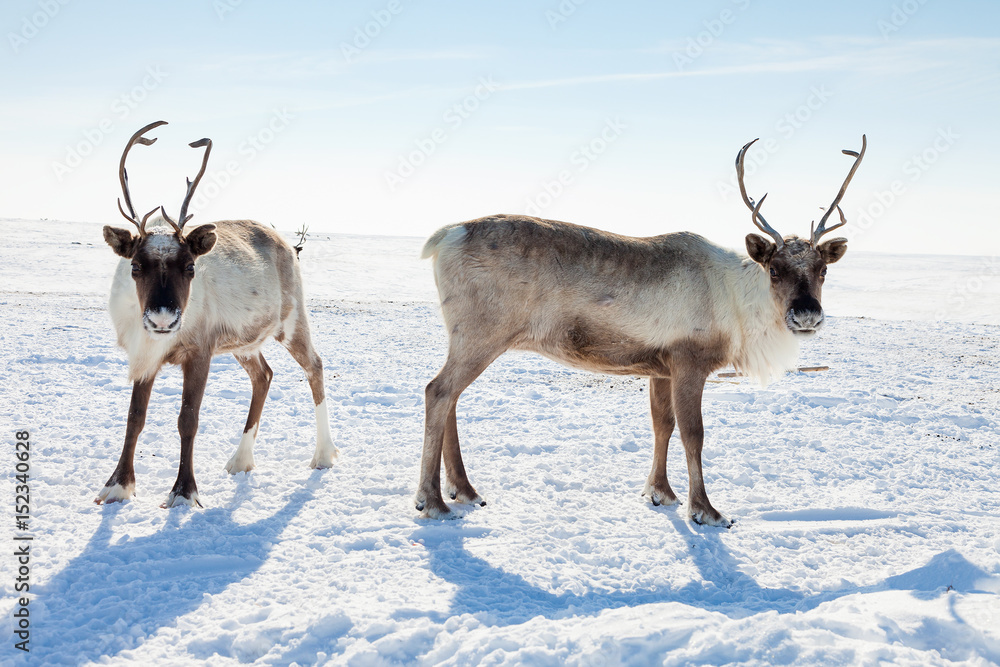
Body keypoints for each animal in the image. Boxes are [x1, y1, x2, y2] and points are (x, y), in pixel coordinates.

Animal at [96, 120, 338, 508]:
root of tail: (285, 242)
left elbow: (188, 419)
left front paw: (183, 491)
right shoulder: (144, 355)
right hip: (245, 342)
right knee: (264, 375)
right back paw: (241, 459)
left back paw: (324, 454)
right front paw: (118, 485)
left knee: (314, 366)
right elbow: (135, 417)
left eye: (190, 267)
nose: (163, 319)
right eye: (135, 266)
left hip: (292, 321)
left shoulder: (200, 351)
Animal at [416, 135, 866, 526]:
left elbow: (661, 424)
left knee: (450, 395)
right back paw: (433, 500)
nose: (806, 314)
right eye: (774, 269)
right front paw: (706, 510)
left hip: (467, 335)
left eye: (823, 270)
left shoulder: (659, 367)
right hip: (483, 332)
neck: (738, 306)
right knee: (438, 391)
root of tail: (444, 235)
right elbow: (693, 434)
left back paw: (464, 489)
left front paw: (661, 492)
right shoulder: (689, 362)